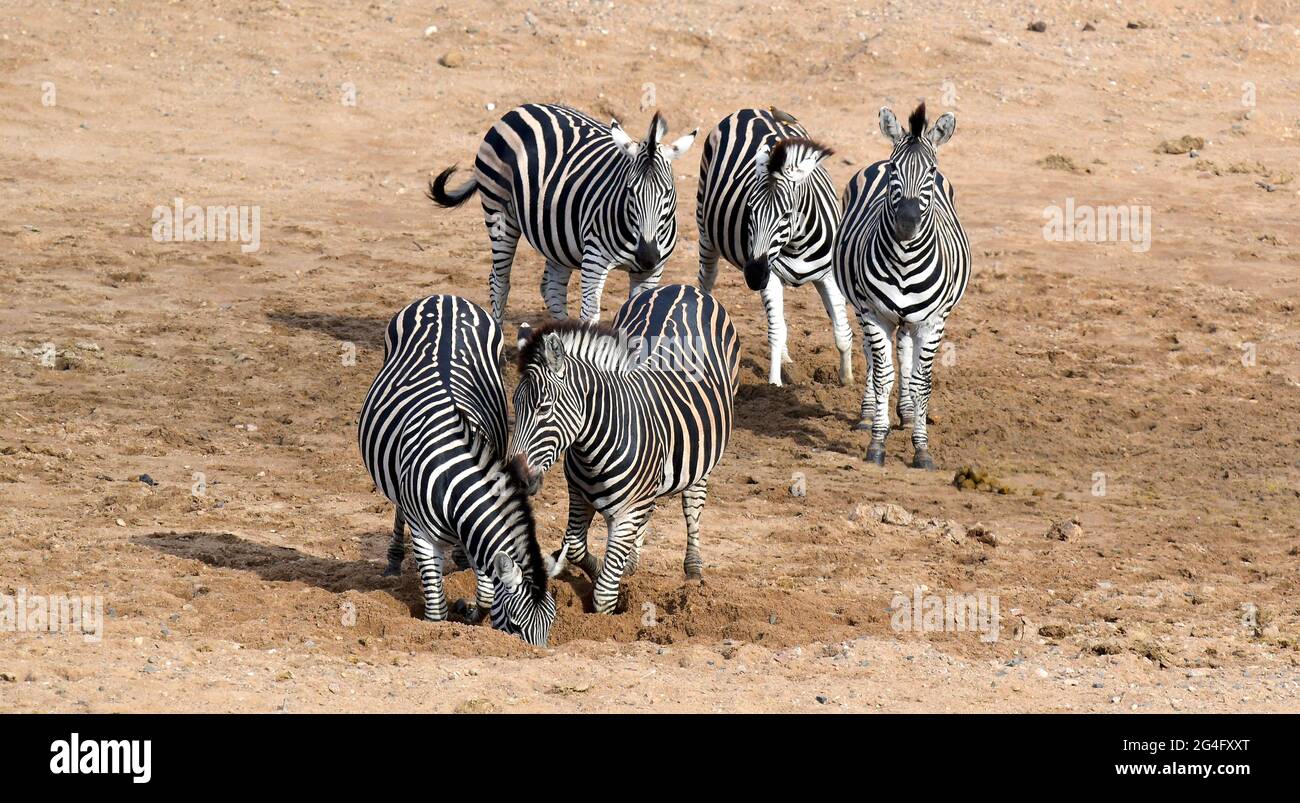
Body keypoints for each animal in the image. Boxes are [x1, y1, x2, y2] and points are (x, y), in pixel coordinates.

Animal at [358, 294, 556, 644]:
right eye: (516, 626)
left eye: (551, 625)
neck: (453, 479)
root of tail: (445, 297)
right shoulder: (423, 535)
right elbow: (435, 609)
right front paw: (441, 623)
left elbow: (488, 593)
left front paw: (470, 609)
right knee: (398, 506)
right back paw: (393, 560)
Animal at [428, 103, 697, 323]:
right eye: (630, 191)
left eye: (668, 192)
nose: (647, 256)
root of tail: (519, 109)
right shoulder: (594, 261)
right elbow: (589, 315)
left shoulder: (652, 273)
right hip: (499, 213)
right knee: (499, 282)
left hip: (557, 238)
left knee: (551, 288)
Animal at [508, 284, 739, 615]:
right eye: (516, 405)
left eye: (544, 408)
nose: (517, 476)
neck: (592, 448)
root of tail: (682, 287)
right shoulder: (578, 495)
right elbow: (576, 548)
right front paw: (595, 568)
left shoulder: (628, 510)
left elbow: (604, 595)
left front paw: (607, 612)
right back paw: (630, 563)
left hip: (703, 454)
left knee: (693, 504)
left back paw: (693, 568)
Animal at [696, 107, 853, 386]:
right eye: (750, 210)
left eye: (786, 215)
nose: (753, 274)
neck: (797, 244)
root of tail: (751, 109)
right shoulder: (770, 278)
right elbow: (776, 331)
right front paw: (775, 385)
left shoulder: (828, 276)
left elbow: (842, 331)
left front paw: (846, 380)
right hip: (705, 230)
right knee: (707, 278)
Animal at [834, 101, 970, 470]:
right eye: (896, 169)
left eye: (932, 170)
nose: (907, 224)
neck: (906, 260)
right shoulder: (874, 312)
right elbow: (883, 374)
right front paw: (876, 443)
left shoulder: (933, 321)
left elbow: (922, 382)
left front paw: (921, 449)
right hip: (863, 308)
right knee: (874, 357)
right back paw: (869, 414)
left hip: (913, 318)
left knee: (906, 351)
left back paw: (907, 413)